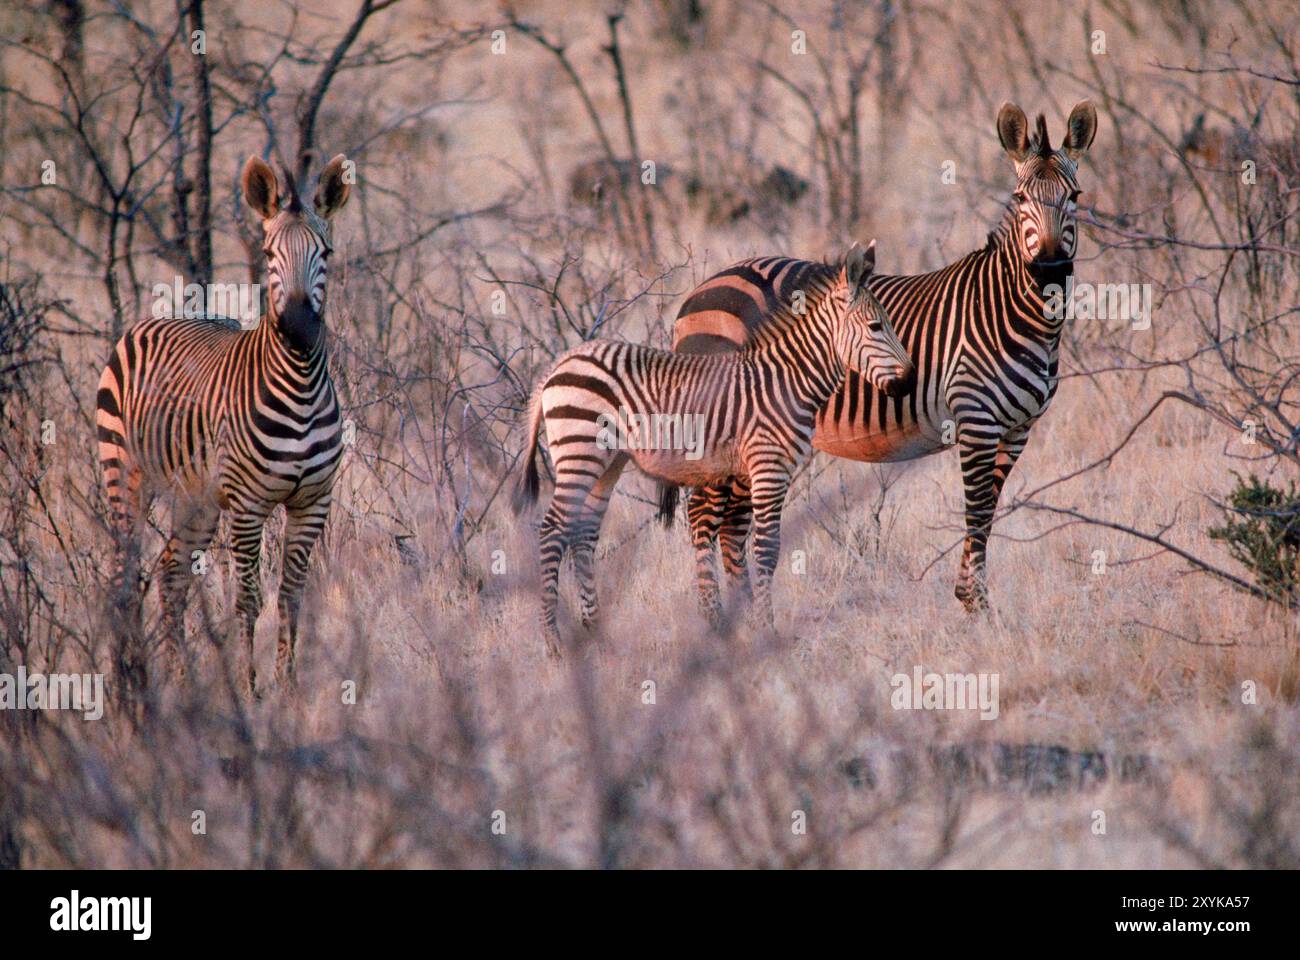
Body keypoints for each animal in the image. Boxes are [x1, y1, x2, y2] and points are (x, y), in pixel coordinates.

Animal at [96, 153, 352, 696]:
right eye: (269, 254)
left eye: (326, 252)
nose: (298, 326)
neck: (300, 386)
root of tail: (159, 318)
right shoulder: (250, 505)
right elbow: (249, 597)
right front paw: (248, 688)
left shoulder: (313, 503)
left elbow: (292, 595)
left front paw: (288, 690)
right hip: (123, 473)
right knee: (123, 575)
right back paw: (131, 685)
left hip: (198, 498)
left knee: (170, 572)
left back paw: (180, 684)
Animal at [514, 242, 914, 655]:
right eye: (876, 327)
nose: (910, 382)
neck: (787, 381)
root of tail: (558, 365)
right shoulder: (769, 465)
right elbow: (766, 549)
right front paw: (767, 631)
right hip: (580, 451)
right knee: (552, 530)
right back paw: (554, 641)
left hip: (607, 462)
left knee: (582, 532)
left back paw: (594, 633)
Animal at [662, 101, 1098, 613]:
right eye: (1020, 197)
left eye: (1075, 196)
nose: (1049, 270)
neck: (1013, 314)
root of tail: (698, 292)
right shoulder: (976, 419)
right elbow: (976, 512)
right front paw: (976, 606)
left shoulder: (1018, 431)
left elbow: (989, 512)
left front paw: (974, 600)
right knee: (703, 516)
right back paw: (714, 616)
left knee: (731, 523)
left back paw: (742, 612)